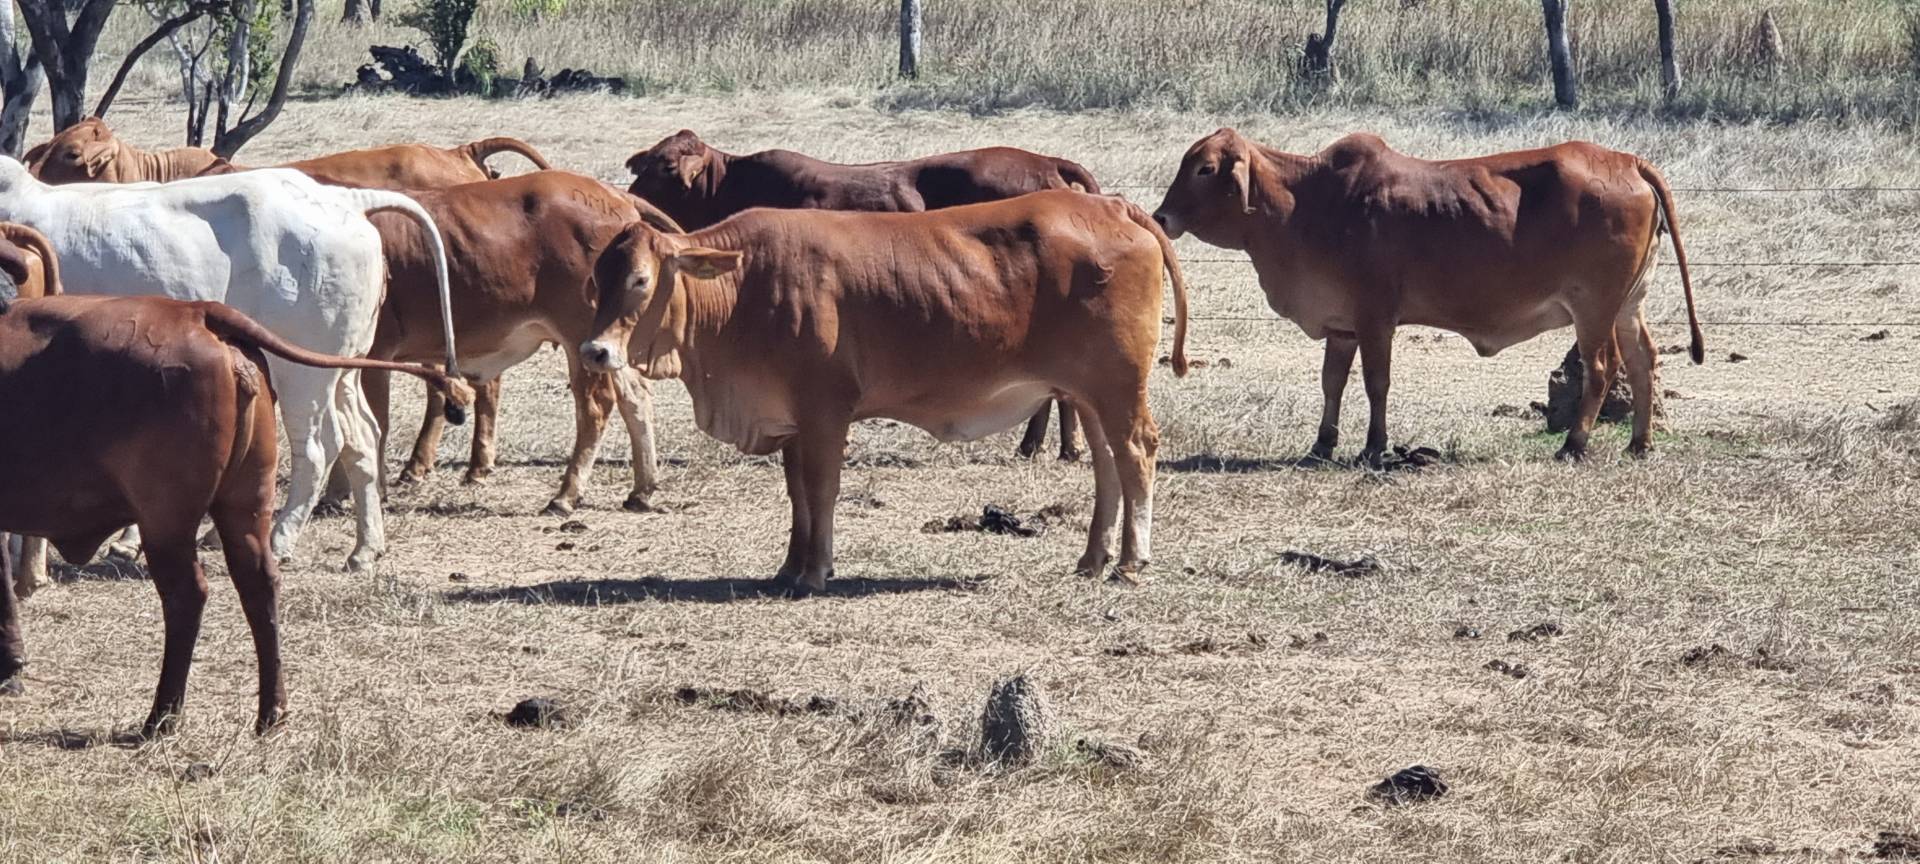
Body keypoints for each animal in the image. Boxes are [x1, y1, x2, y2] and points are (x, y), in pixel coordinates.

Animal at [0, 157, 464, 573]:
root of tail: (345, 200)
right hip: (342, 368)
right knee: (363, 438)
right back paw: (365, 550)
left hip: (301, 370)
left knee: (318, 448)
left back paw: (280, 540)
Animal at [0, 293, 473, 737]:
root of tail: (197, 313)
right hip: (245, 504)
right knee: (260, 583)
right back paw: (271, 712)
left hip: (166, 518)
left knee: (187, 596)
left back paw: (163, 716)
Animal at [356, 171, 683, 515]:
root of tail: (613, 195)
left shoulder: (374, 355)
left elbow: (371, 425)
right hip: (608, 344)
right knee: (635, 397)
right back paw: (641, 489)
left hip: (582, 337)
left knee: (596, 406)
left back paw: (566, 494)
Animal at [577, 190, 1191, 595]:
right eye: (596, 281)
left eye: (640, 280)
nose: (594, 351)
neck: (747, 285)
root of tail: (1113, 205)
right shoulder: (792, 420)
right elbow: (797, 495)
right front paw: (790, 566)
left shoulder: (825, 412)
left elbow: (821, 491)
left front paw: (816, 571)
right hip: (1086, 395)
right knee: (1107, 464)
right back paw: (1093, 558)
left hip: (1117, 387)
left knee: (1137, 452)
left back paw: (1132, 561)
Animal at [1150, 129, 1703, 463]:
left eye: (1204, 169)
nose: (1160, 217)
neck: (1305, 203)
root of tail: (1628, 162)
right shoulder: (1342, 327)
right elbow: (1332, 384)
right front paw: (1322, 446)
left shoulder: (1375, 317)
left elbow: (1376, 384)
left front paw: (1374, 448)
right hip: (1628, 304)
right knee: (1643, 359)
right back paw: (1639, 442)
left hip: (1594, 306)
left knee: (1604, 366)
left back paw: (1574, 443)